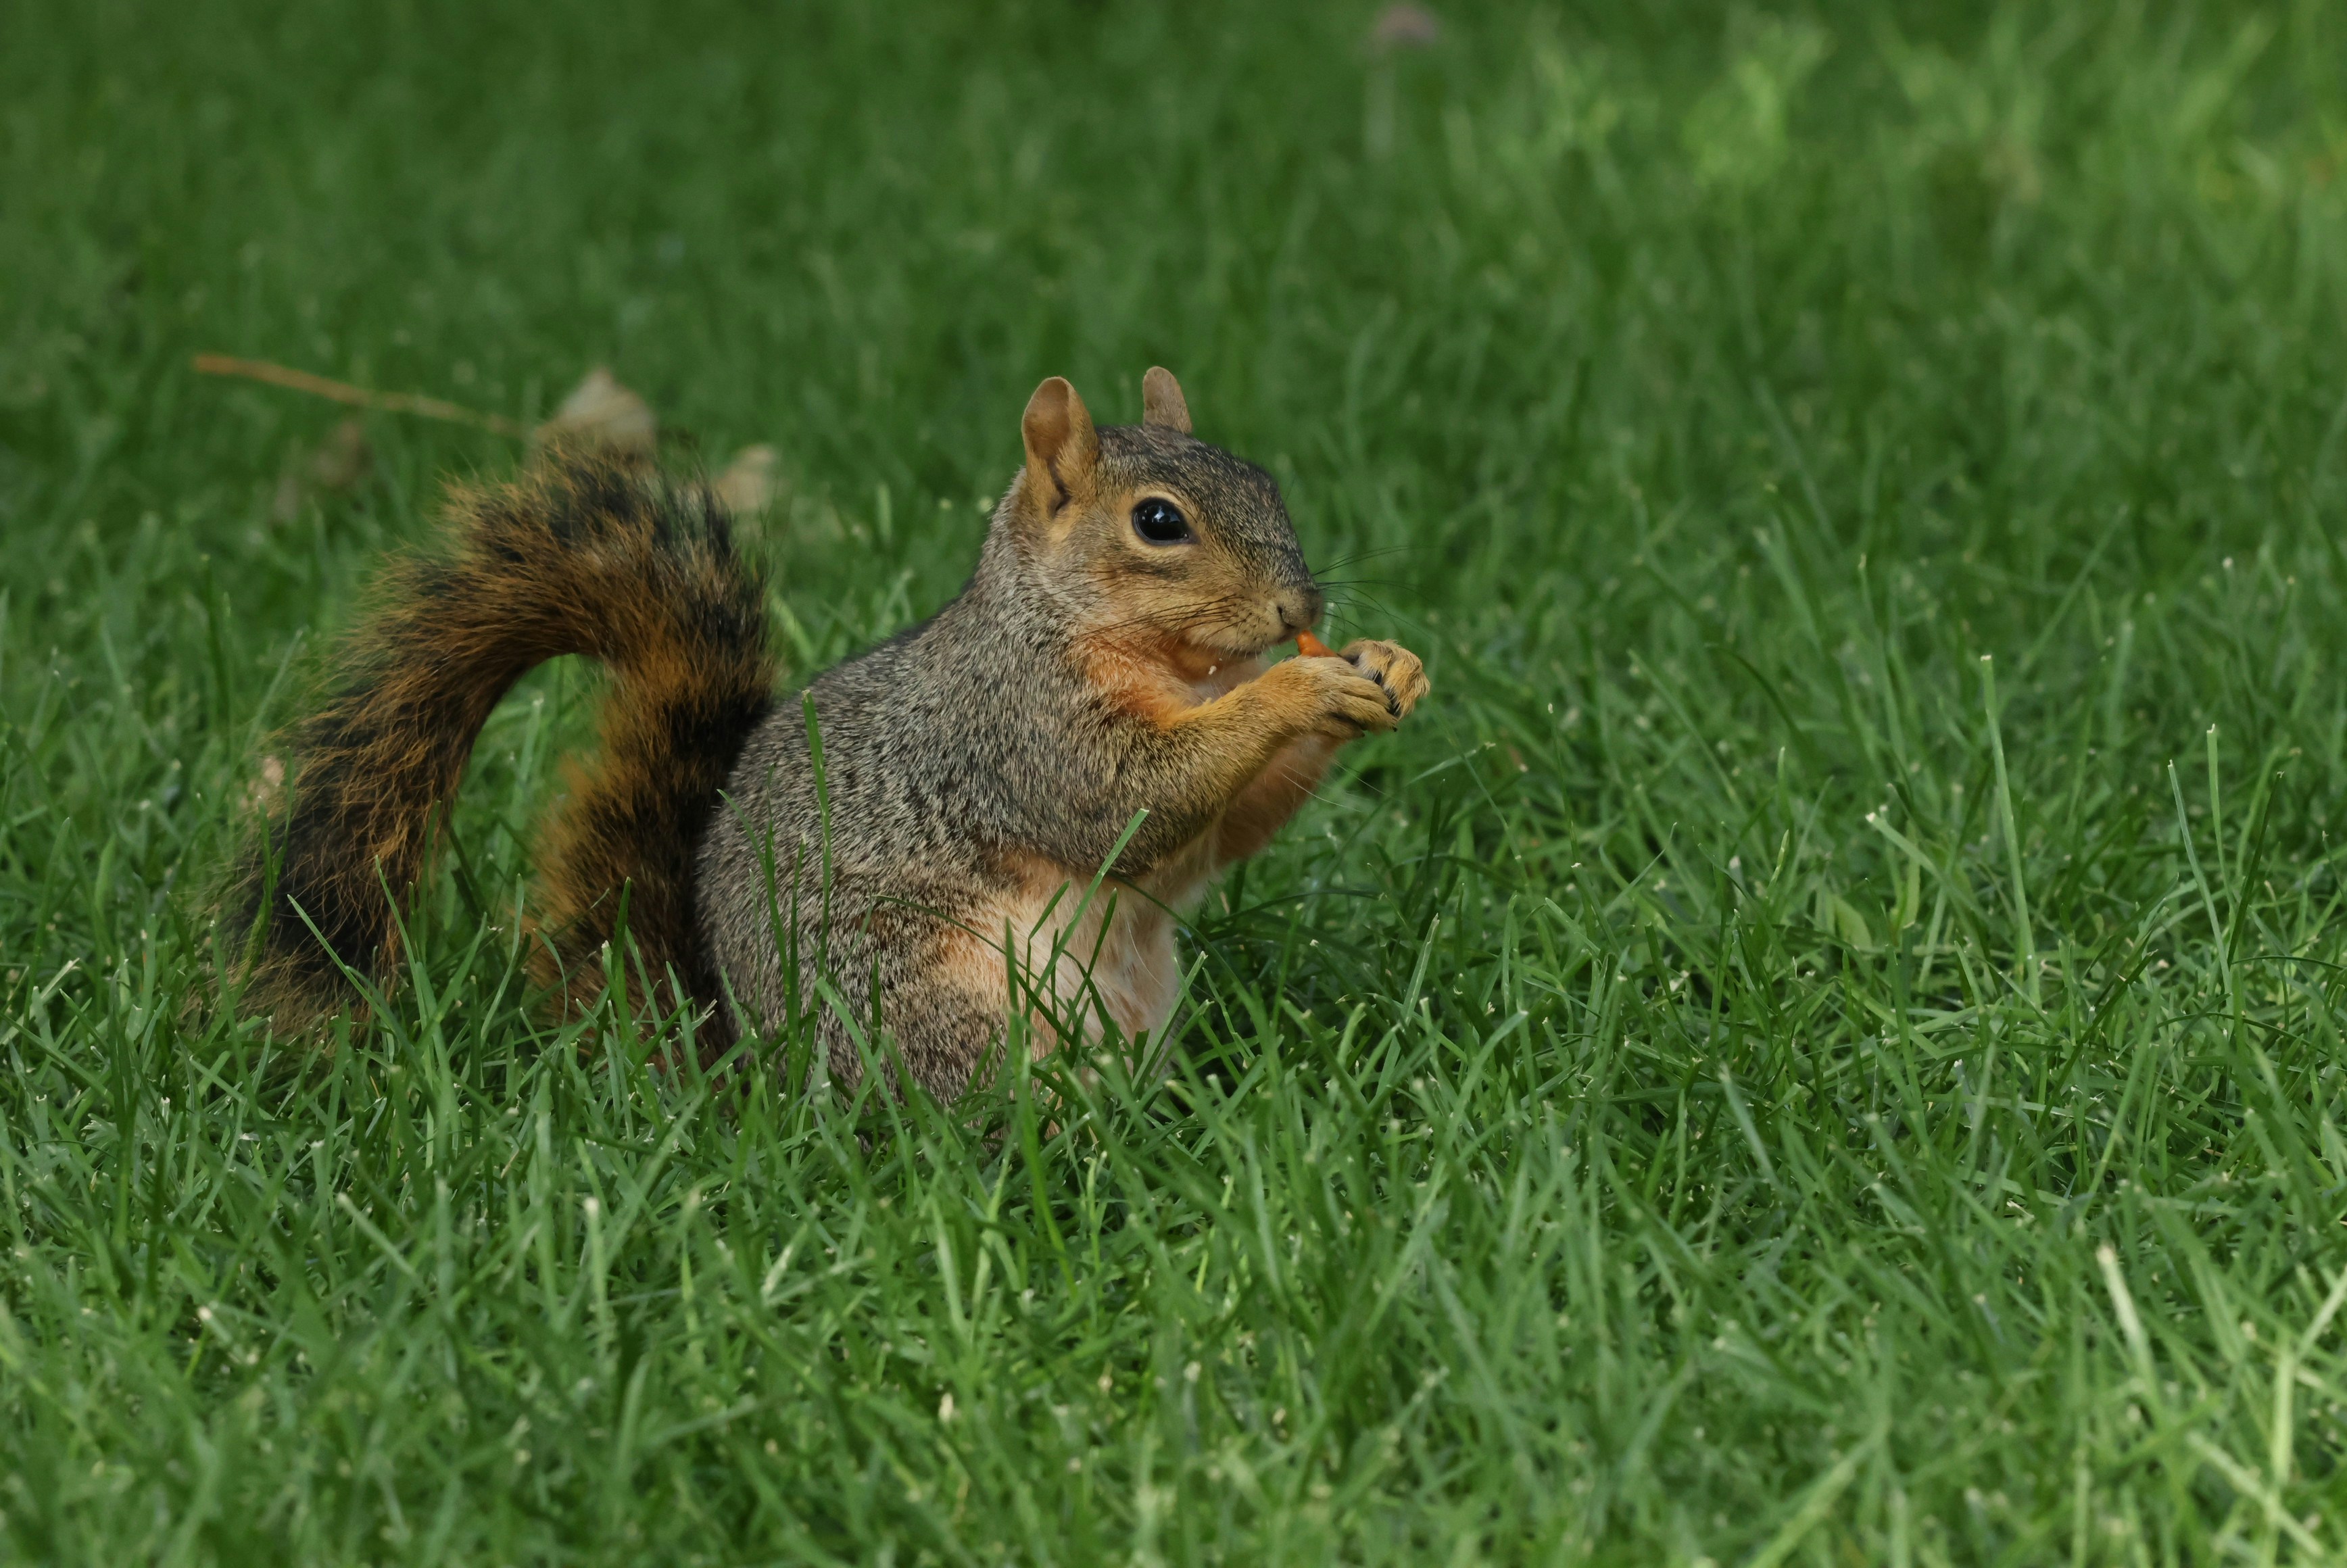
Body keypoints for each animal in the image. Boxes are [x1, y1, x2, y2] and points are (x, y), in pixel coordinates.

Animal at [230, 368, 1429, 1098]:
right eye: (1160, 523)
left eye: (1265, 482)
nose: (1297, 607)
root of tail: (758, 1077)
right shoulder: (1020, 731)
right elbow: (1128, 800)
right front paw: (1296, 691)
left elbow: (1220, 833)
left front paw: (1382, 666)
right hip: (929, 995)